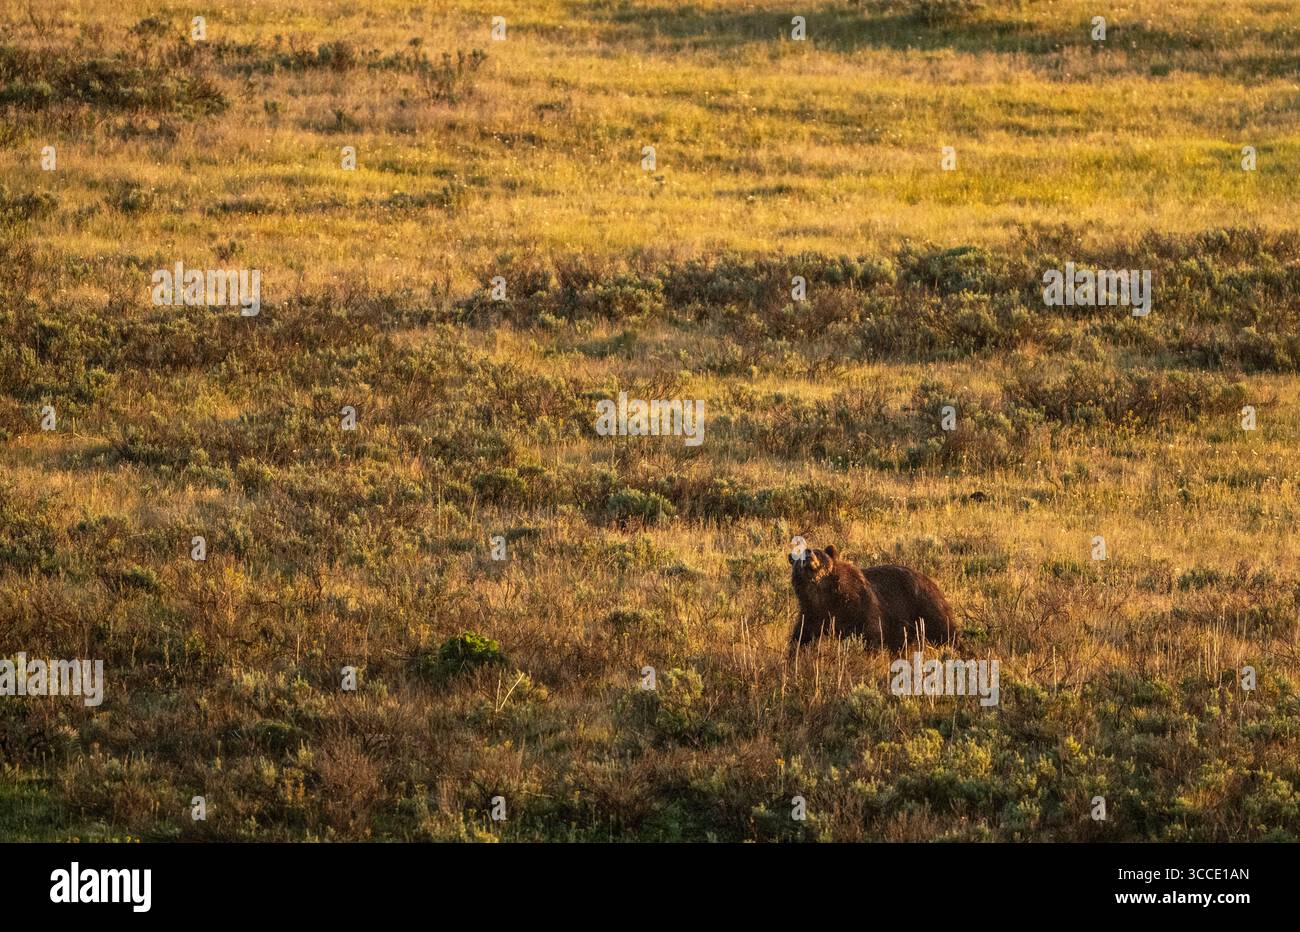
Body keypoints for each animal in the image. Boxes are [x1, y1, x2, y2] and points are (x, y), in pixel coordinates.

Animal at [788, 544, 956, 652]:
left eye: (818, 552)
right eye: (798, 554)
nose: (808, 552)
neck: (821, 594)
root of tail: (930, 580)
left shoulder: (857, 604)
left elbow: (870, 632)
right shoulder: (811, 612)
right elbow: (802, 636)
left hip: (924, 605)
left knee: (943, 629)